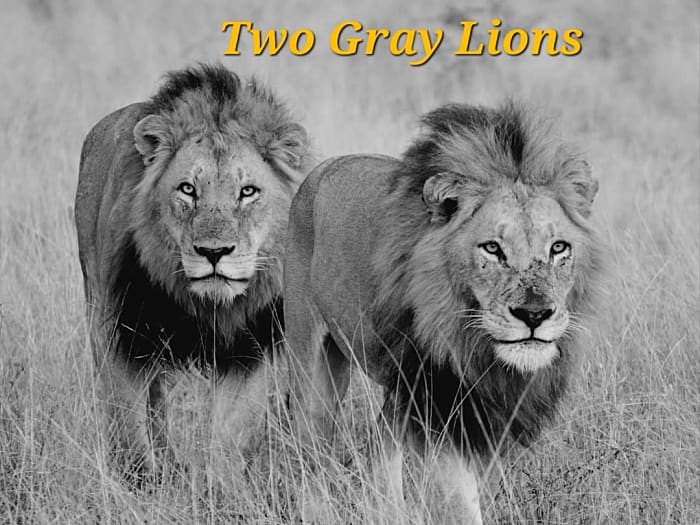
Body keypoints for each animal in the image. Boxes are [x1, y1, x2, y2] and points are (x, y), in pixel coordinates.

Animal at [74, 64, 309, 479]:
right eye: (187, 189)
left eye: (247, 192)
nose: (214, 253)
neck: (205, 307)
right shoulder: (120, 335)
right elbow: (128, 428)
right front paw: (140, 483)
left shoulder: (247, 352)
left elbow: (228, 435)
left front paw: (222, 486)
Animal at [283, 102, 602, 523]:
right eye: (492, 248)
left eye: (558, 248)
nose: (534, 314)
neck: (477, 348)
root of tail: (318, 171)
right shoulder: (441, 404)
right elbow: (461, 505)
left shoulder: (478, 411)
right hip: (313, 366)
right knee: (312, 452)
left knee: (381, 440)